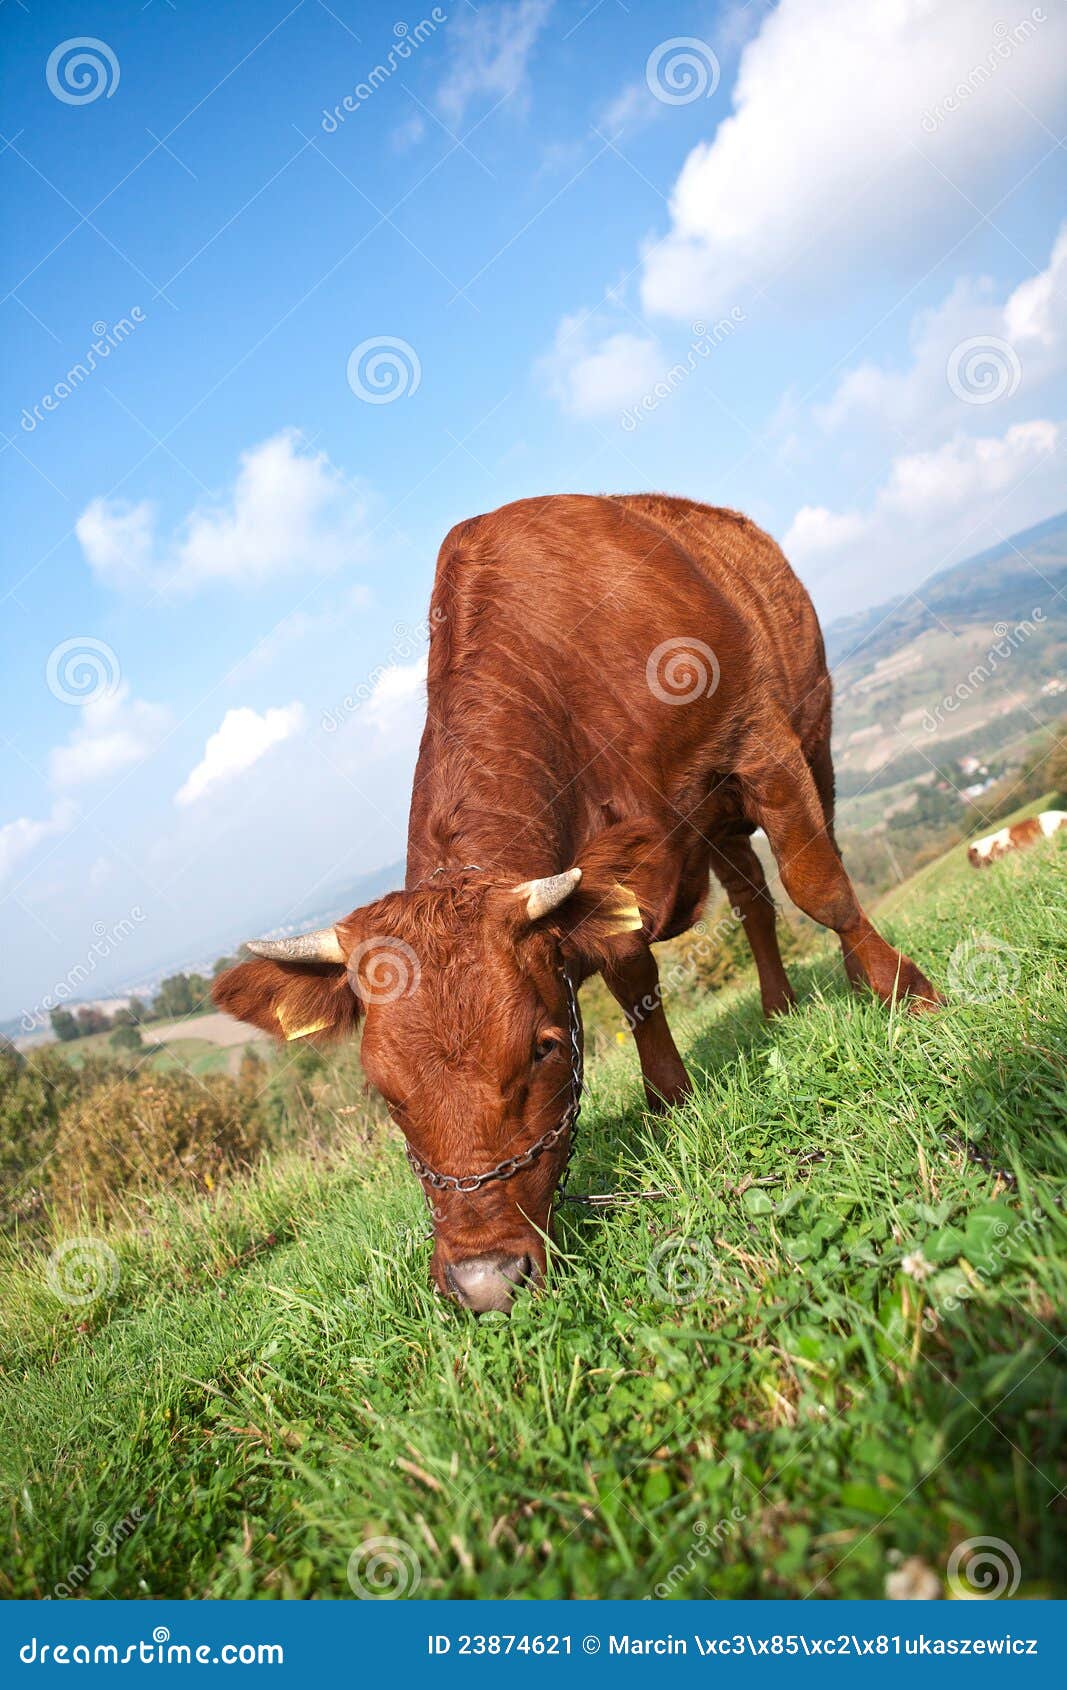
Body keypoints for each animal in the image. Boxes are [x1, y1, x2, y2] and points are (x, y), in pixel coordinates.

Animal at [213, 494, 939, 1312]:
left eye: (544, 1048)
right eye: (382, 1091)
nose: (484, 1280)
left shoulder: (760, 745)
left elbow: (819, 883)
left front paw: (906, 991)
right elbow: (632, 976)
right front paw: (670, 1100)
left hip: (806, 743)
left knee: (808, 866)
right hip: (720, 825)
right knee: (751, 897)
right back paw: (779, 1006)